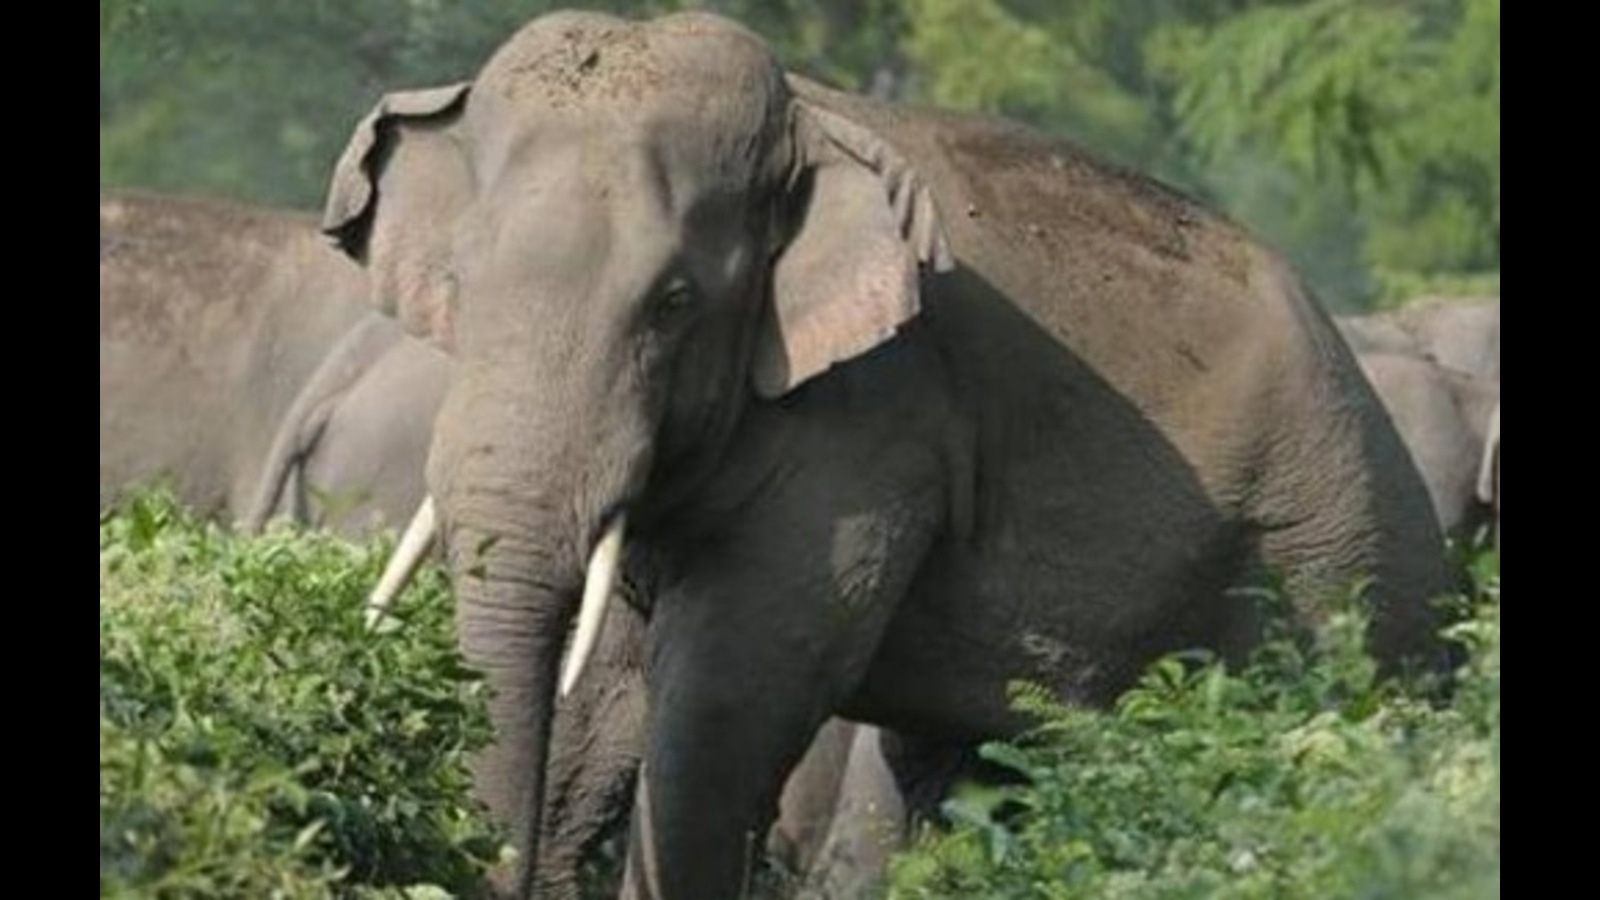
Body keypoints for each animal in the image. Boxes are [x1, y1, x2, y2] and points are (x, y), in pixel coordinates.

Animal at [325, 11, 1454, 898]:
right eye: (459, 280)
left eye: (675, 302)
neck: (807, 120)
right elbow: (606, 693)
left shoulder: (876, 420)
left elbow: (726, 698)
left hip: (1335, 568)